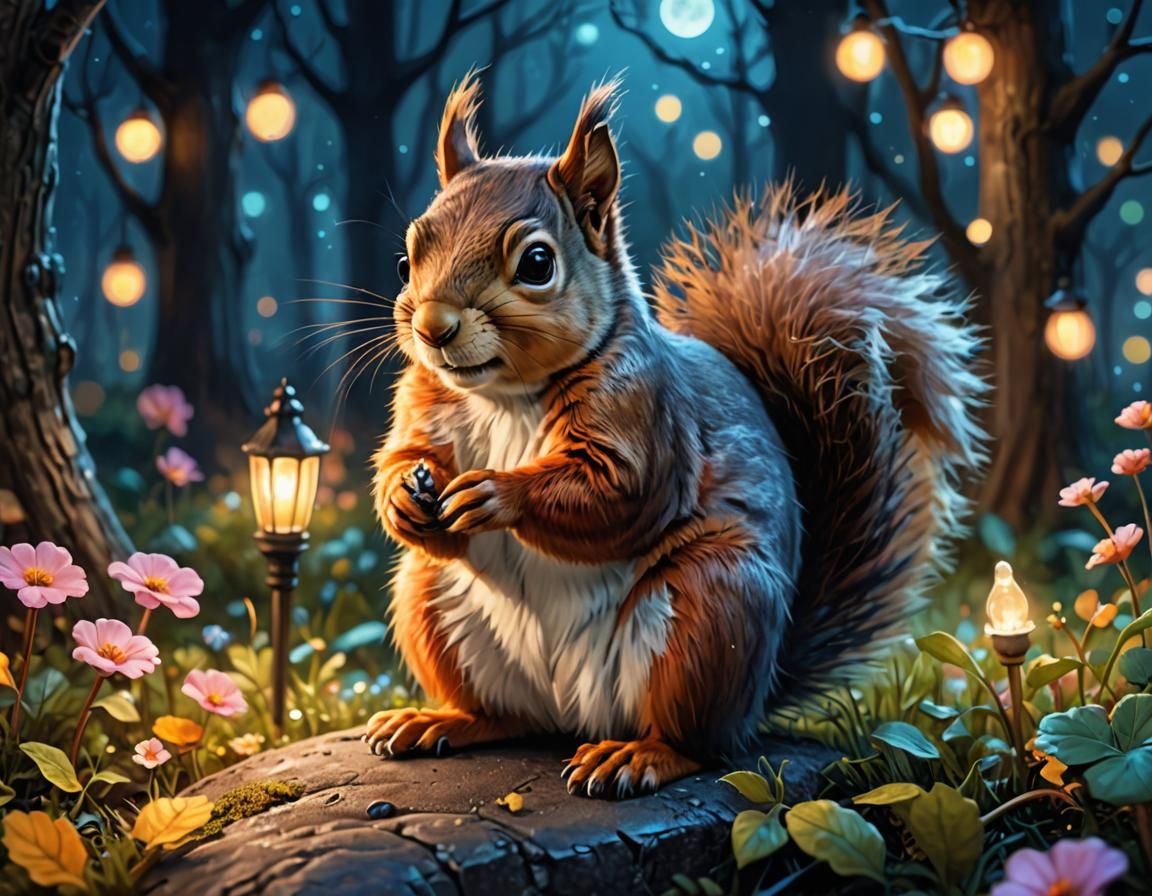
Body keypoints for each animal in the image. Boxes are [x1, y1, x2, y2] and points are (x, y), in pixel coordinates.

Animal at [364, 72, 986, 799]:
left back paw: (638, 757)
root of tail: (573, 715)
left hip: (710, 612)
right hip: (430, 601)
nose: (432, 327)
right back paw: (438, 720)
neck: (505, 396)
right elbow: (404, 457)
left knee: (697, 740)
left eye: (538, 263)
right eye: (408, 256)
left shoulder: (649, 413)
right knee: (502, 715)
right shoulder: (422, 403)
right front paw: (404, 497)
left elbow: (621, 494)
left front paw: (495, 493)